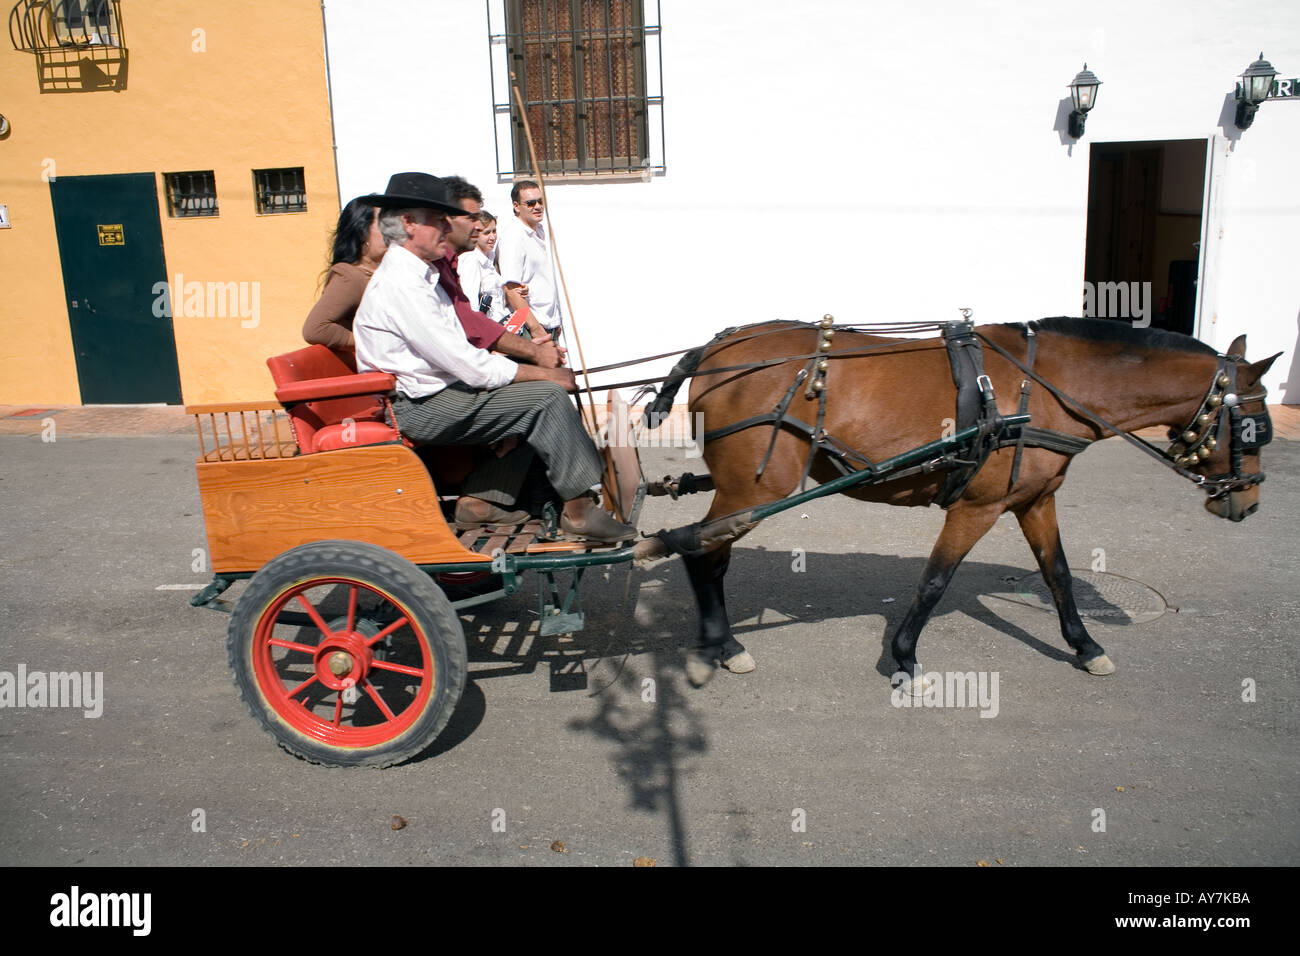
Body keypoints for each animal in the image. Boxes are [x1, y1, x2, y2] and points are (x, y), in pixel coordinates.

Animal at [649, 317, 1280, 687]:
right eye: (1255, 428)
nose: (1248, 502)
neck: (1043, 386)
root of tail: (715, 349)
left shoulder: (1034, 499)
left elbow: (1057, 574)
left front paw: (1085, 645)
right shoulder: (976, 506)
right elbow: (935, 579)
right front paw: (904, 656)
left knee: (707, 554)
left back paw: (721, 642)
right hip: (755, 490)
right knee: (698, 551)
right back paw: (721, 644)